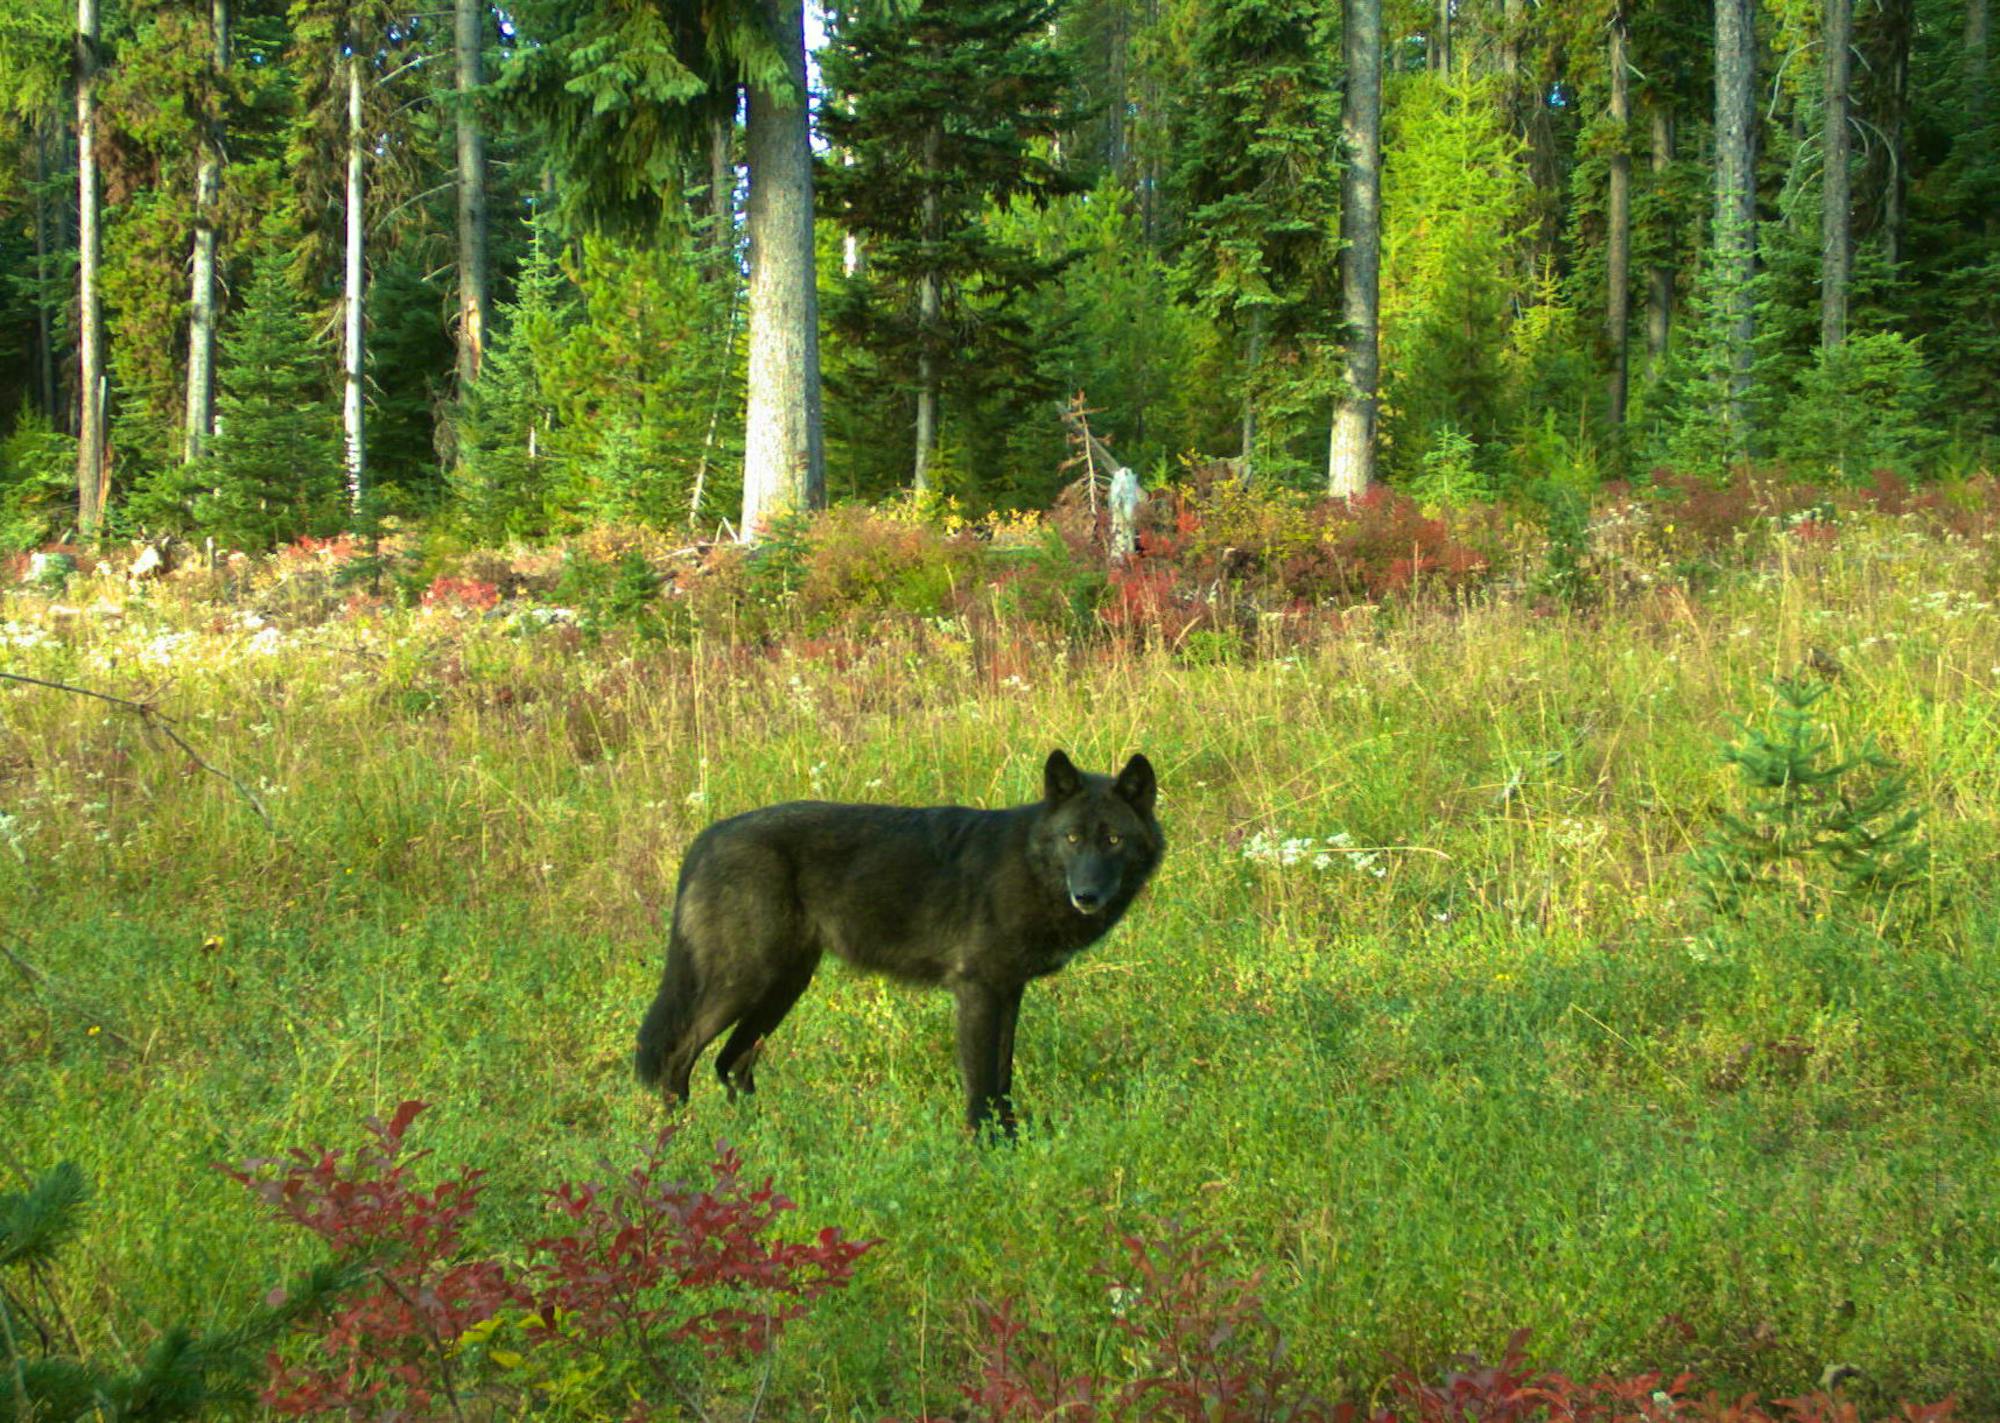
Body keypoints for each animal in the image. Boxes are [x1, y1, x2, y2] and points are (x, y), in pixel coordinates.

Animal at [634, 749, 1164, 1134]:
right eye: (1072, 838)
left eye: (1113, 840)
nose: (1087, 896)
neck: (1031, 865)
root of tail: (708, 835)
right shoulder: (978, 992)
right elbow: (982, 1087)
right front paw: (988, 1151)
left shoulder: (1008, 992)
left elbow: (1003, 1078)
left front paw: (1013, 1141)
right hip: (745, 984)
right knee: (677, 1058)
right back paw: (680, 1143)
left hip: (782, 988)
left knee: (733, 1063)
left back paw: (760, 1141)